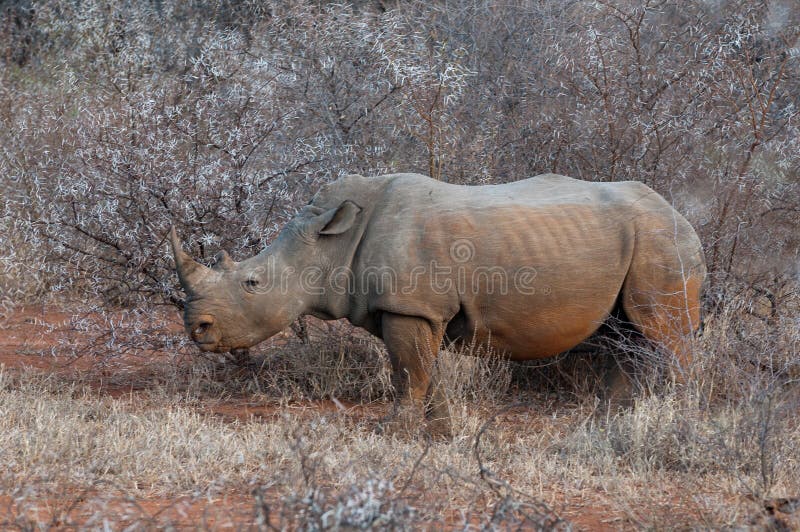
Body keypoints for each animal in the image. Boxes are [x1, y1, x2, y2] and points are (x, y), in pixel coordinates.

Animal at [170, 173, 705, 435]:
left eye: (252, 283)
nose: (197, 329)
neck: (327, 243)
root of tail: (683, 215)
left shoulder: (408, 305)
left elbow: (409, 368)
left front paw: (393, 432)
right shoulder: (413, 309)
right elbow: (424, 368)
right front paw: (442, 431)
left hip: (662, 239)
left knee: (664, 333)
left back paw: (680, 416)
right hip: (640, 239)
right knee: (624, 333)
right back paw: (613, 418)